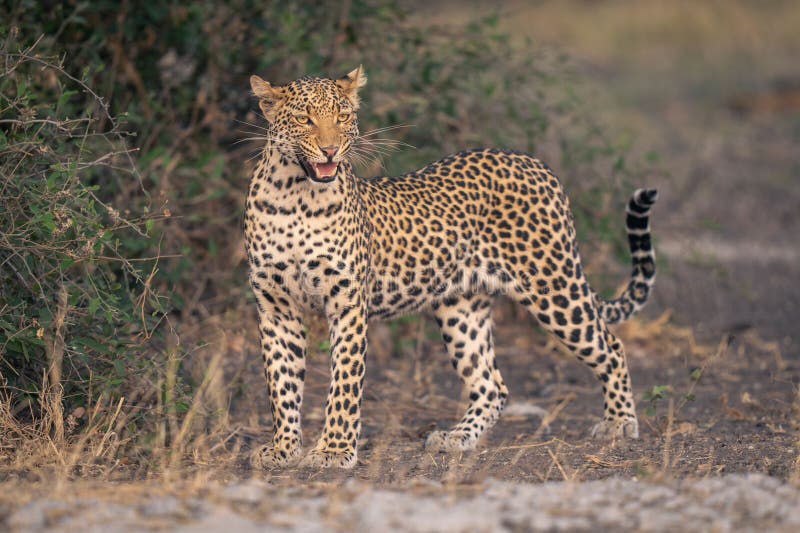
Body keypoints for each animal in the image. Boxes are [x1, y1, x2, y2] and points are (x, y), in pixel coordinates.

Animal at [244, 66, 658, 469]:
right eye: (304, 118)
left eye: (343, 116)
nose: (331, 149)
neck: (295, 196)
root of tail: (532, 161)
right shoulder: (276, 307)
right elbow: (281, 383)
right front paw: (283, 449)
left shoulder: (346, 303)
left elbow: (345, 380)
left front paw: (333, 450)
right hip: (462, 309)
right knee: (492, 384)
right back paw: (457, 438)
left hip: (554, 287)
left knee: (611, 346)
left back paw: (619, 423)